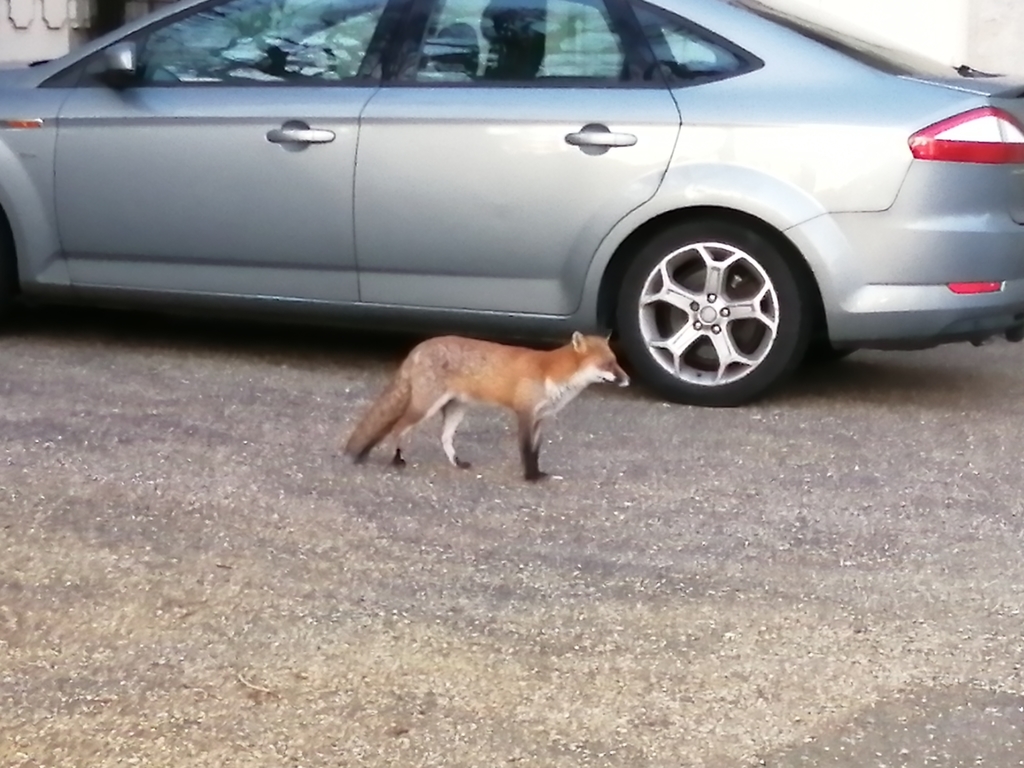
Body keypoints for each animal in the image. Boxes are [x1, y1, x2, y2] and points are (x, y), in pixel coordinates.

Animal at [342, 331, 630, 481]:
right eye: (608, 364)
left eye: (616, 361)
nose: (627, 379)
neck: (551, 375)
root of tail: (420, 347)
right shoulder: (524, 414)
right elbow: (526, 450)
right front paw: (530, 477)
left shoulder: (540, 419)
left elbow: (536, 452)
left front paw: (538, 474)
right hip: (424, 407)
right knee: (397, 428)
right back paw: (397, 460)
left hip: (456, 409)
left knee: (444, 437)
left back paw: (457, 463)